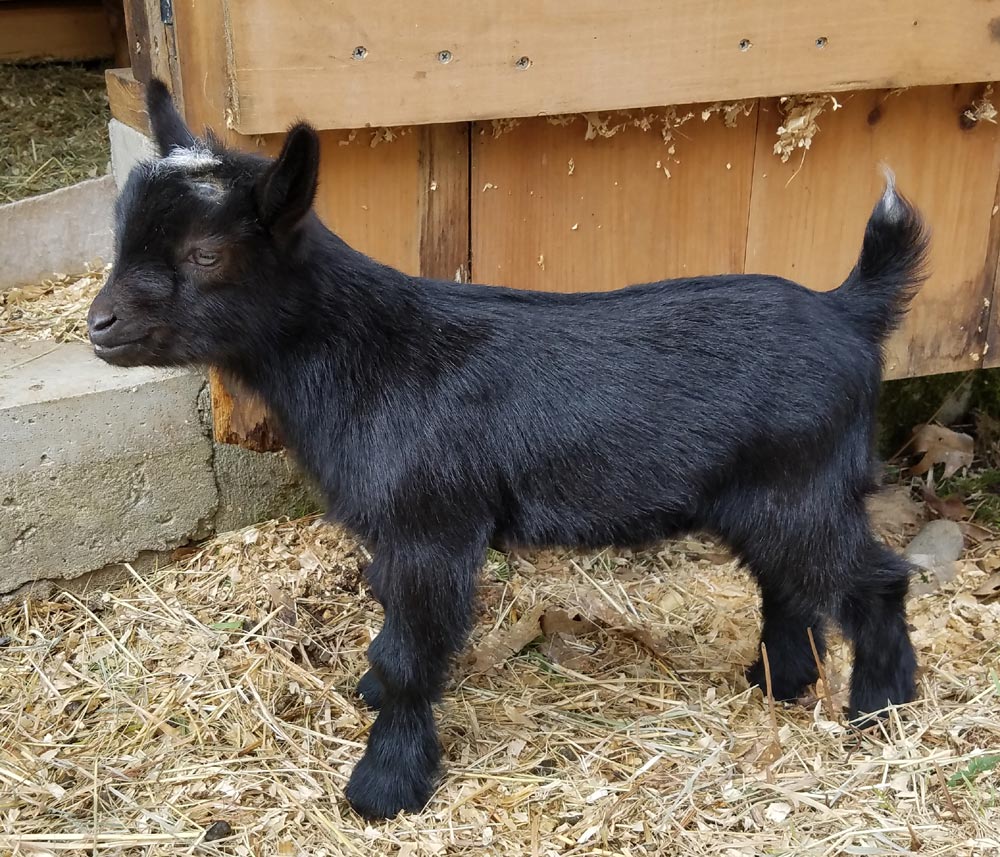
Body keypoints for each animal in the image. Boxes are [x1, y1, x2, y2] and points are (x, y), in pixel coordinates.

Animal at [87, 80, 928, 820]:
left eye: (205, 253)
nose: (100, 324)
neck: (365, 351)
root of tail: (848, 309)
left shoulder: (432, 528)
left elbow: (408, 656)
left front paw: (385, 784)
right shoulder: (396, 535)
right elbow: (392, 632)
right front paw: (372, 699)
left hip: (803, 485)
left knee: (876, 579)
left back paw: (880, 708)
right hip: (769, 495)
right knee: (789, 584)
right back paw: (780, 680)